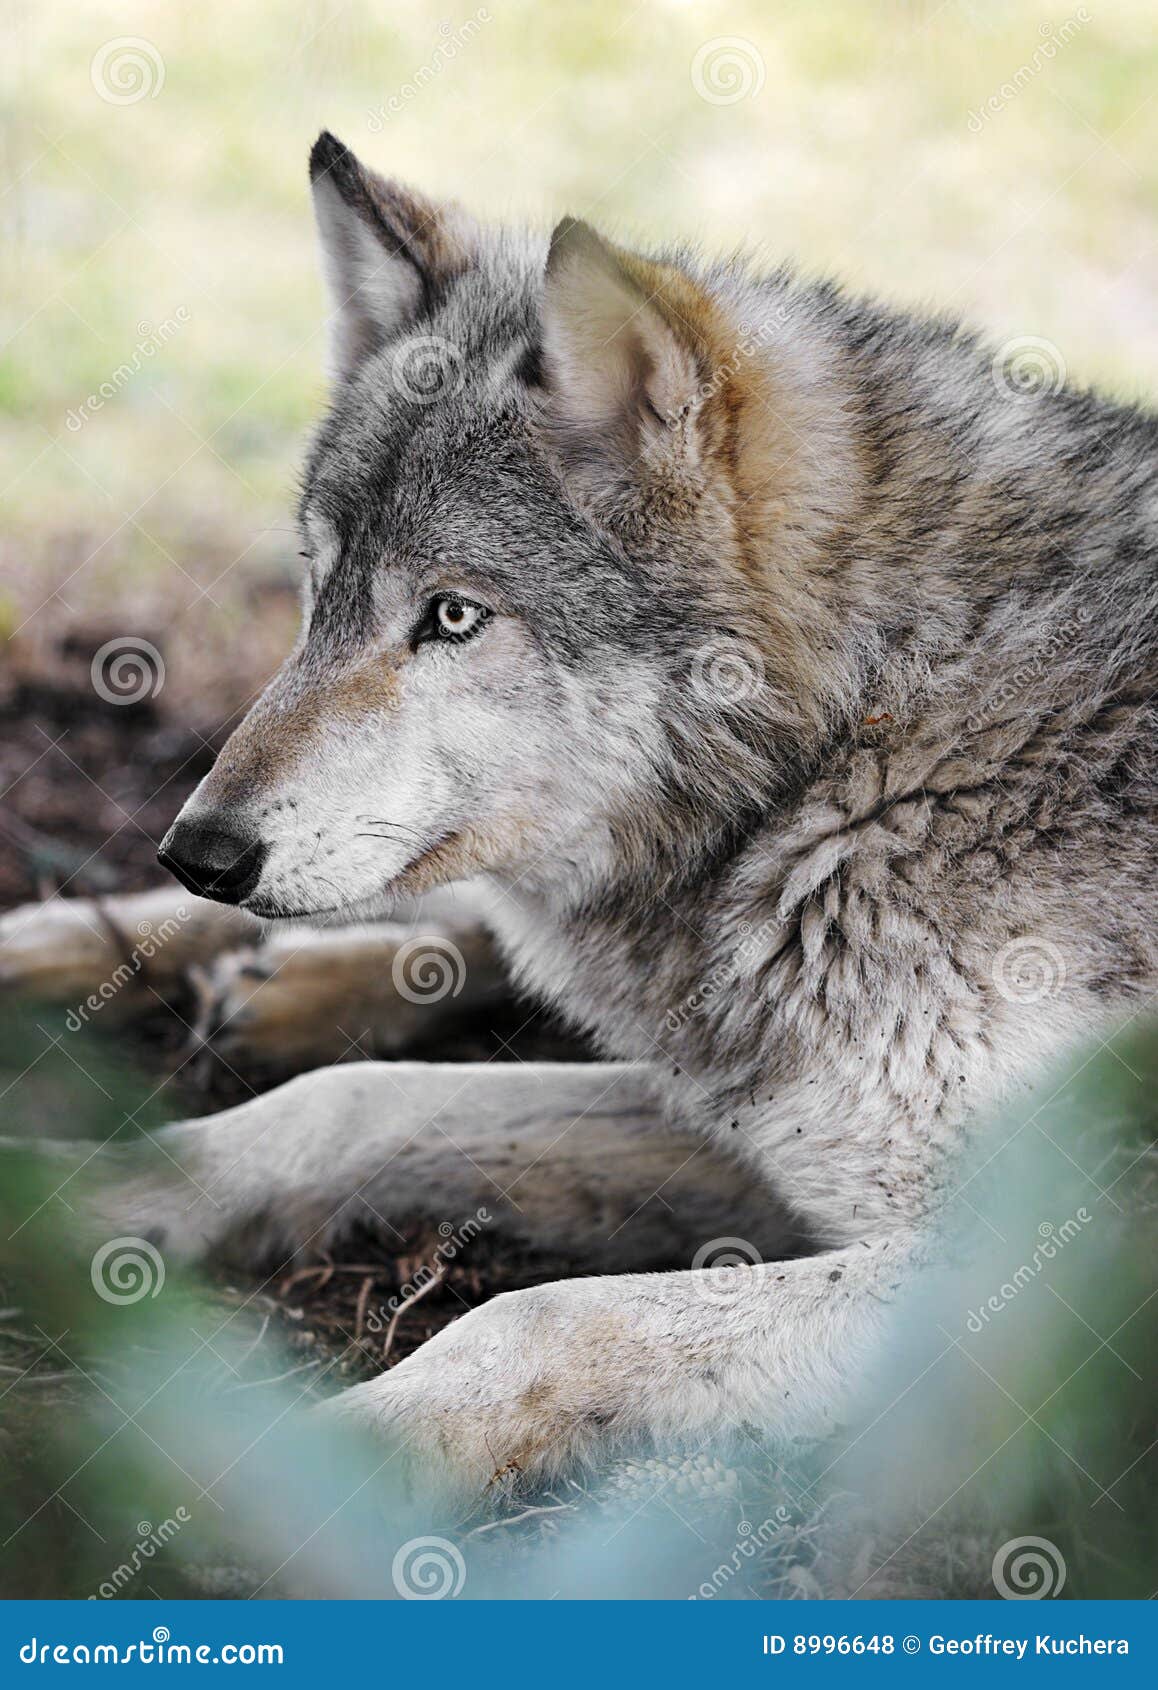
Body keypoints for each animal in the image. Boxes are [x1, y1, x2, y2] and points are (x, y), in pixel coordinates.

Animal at [6, 130, 1157, 1509]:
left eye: (452, 616)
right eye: (317, 585)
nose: (201, 851)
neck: (847, 757)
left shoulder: (1048, 1258)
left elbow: (542, 1313)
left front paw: (318, 1478)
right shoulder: (749, 1121)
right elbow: (348, 1106)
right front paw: (77, 1194)